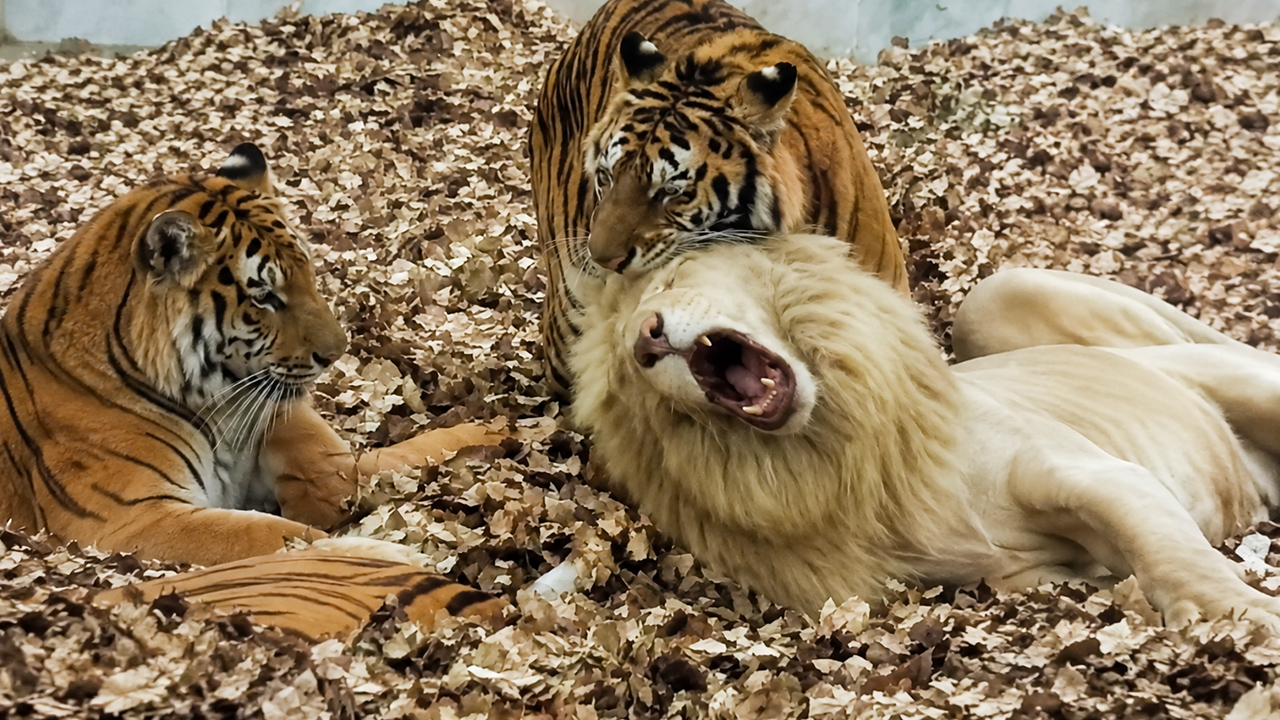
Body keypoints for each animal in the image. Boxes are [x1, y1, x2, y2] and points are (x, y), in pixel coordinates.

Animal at [0, 143, 503, 567]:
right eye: (264, 297)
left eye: (309, 274)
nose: (336, 353)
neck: (219, 405)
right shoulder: (132, 517)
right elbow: (273, 535)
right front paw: (395, 557)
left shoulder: (333, 466)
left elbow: (417, 450)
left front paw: (497, 430)